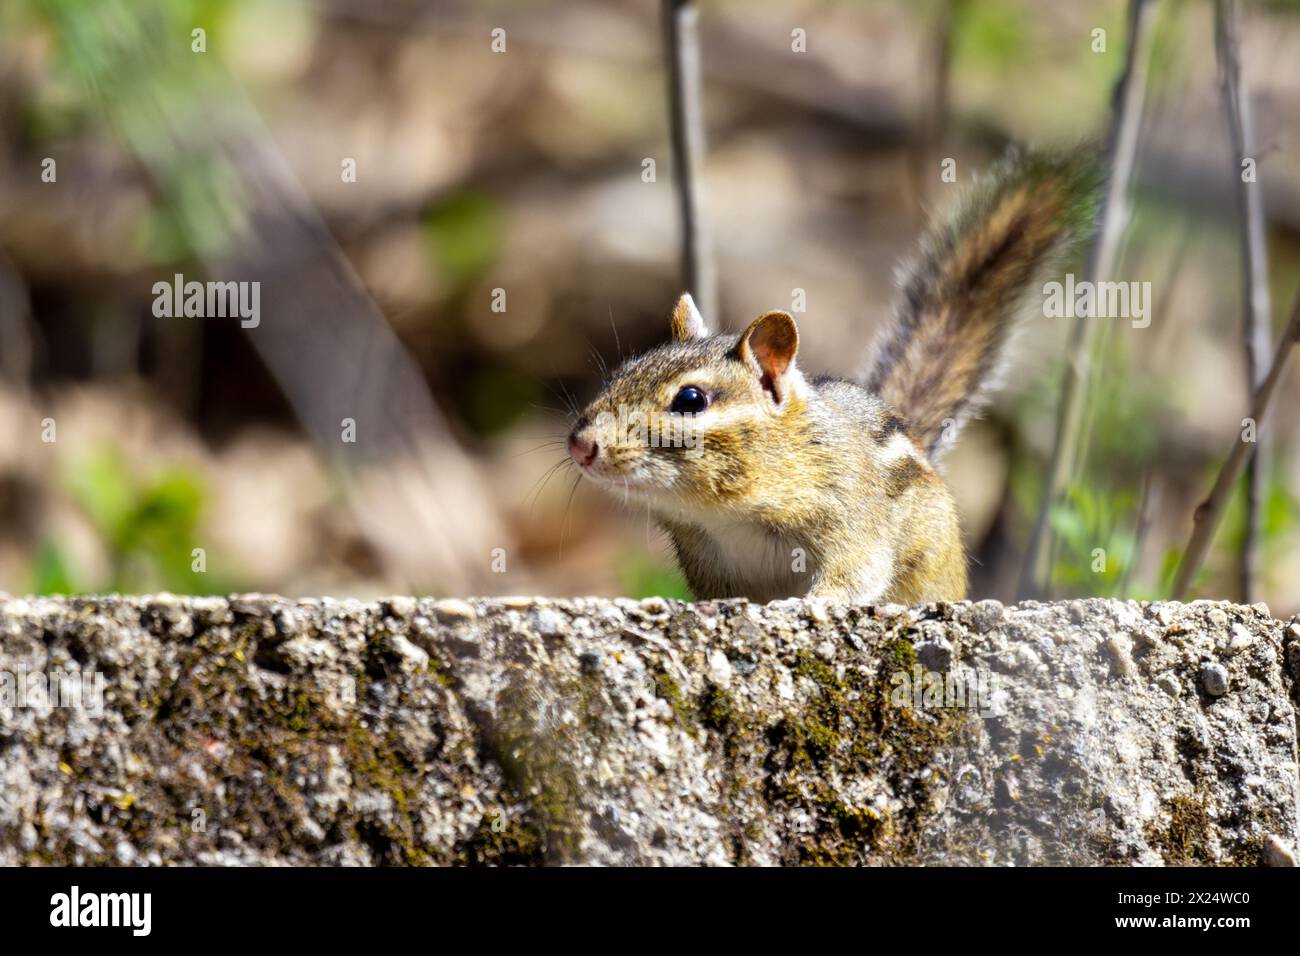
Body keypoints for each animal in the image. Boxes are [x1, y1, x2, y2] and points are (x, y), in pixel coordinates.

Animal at [566, 150, 1098, 604]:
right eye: (620, 373)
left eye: (691, 400)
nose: (581, 446)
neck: (728, 515)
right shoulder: (708, 562)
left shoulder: (851, 519)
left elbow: (856, 572)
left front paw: (813, 603)